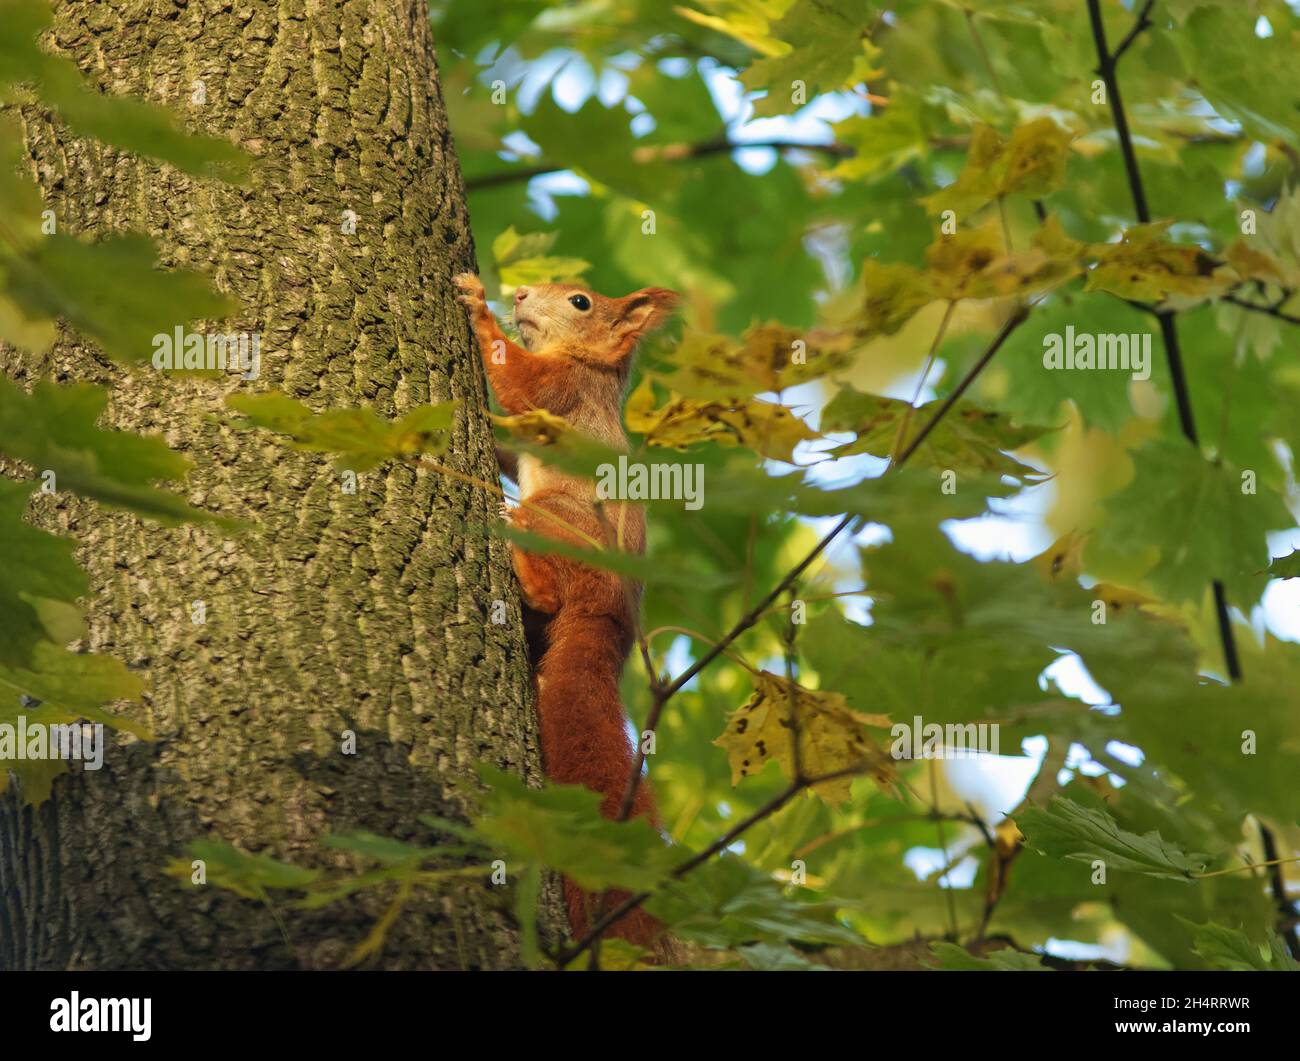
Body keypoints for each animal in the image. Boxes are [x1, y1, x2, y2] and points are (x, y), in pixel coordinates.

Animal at [453, 272, 680, 952]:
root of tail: (612, 624)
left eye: (581, 301)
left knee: (552, 590)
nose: (522, 294)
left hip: (559, 520)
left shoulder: (563, 391)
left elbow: (519, 379)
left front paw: (477, 305)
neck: (593, 368)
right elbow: (507, 445)